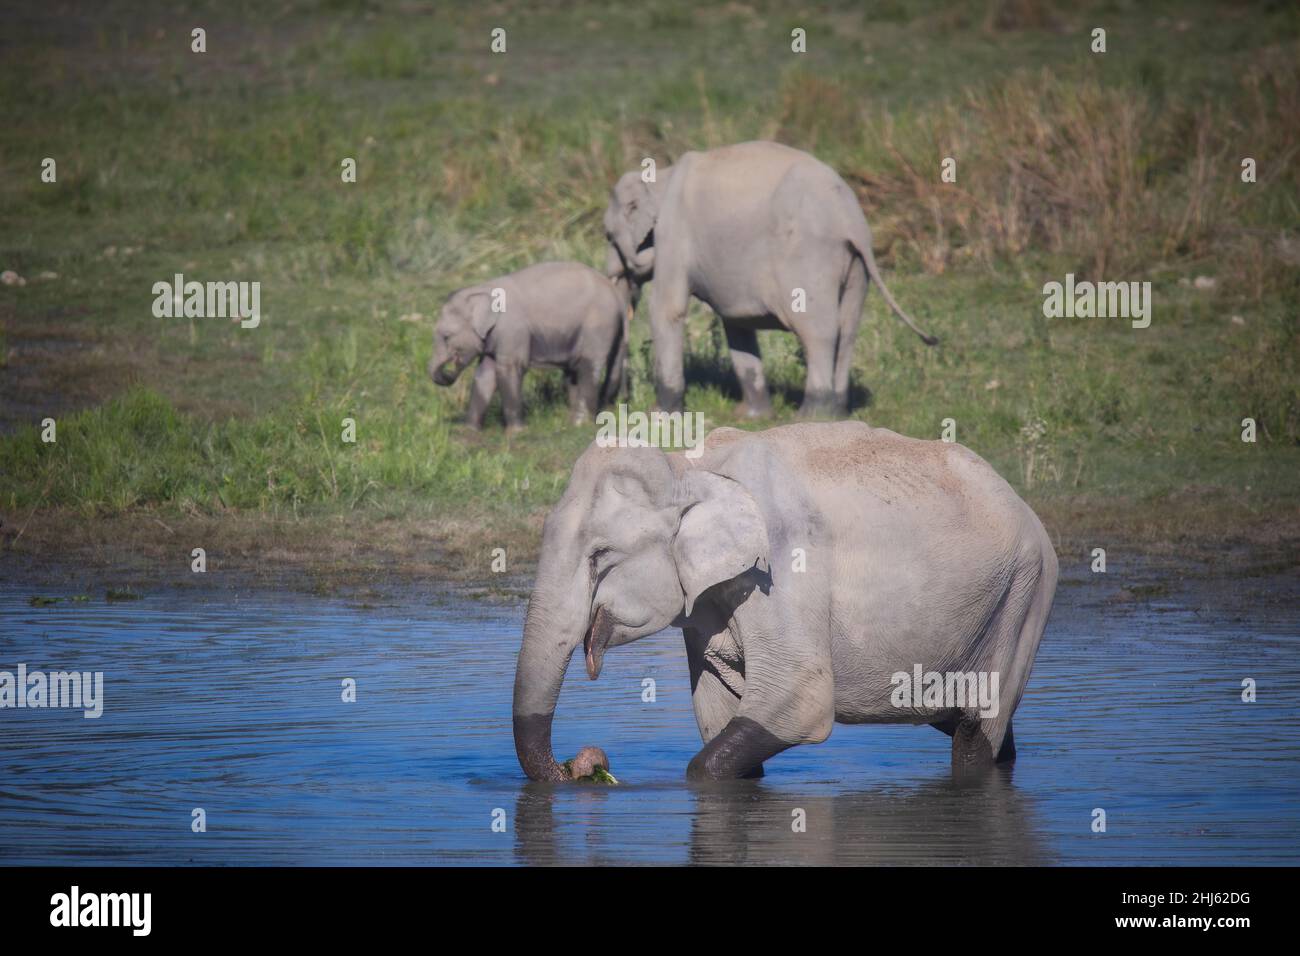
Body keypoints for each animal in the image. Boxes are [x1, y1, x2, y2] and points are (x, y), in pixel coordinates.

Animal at [427, 261, 634, 430]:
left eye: (446, 336)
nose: (450, 368)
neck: (483, 289)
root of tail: (617, 295)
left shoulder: (513, 330)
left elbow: (508, 369)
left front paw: (517, 432)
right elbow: (485, 374)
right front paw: (469, 430)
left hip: (598, 325)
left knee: (589, 366)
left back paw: (580, 424)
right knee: (595, 367)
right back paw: (588, 416)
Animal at [513, 421, 1058, 782]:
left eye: (600, 556)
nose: (583, 766)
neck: (690, 466)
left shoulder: (783, 568)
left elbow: (801, 702)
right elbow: (717, 712)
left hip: (1023, 597)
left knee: (975, 733)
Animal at [603, 140, 938, 418]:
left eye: (607, 235)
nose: (621, 399)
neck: (661, 177)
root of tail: (851, 220)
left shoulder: (673, 235)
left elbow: (667, 309)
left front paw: (659, 417)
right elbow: (736, 323)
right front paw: (750, 417)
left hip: (809, 257)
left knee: (819, 330)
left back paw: (810, 416)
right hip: (857, 269)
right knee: (848, 329)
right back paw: (838, 414)